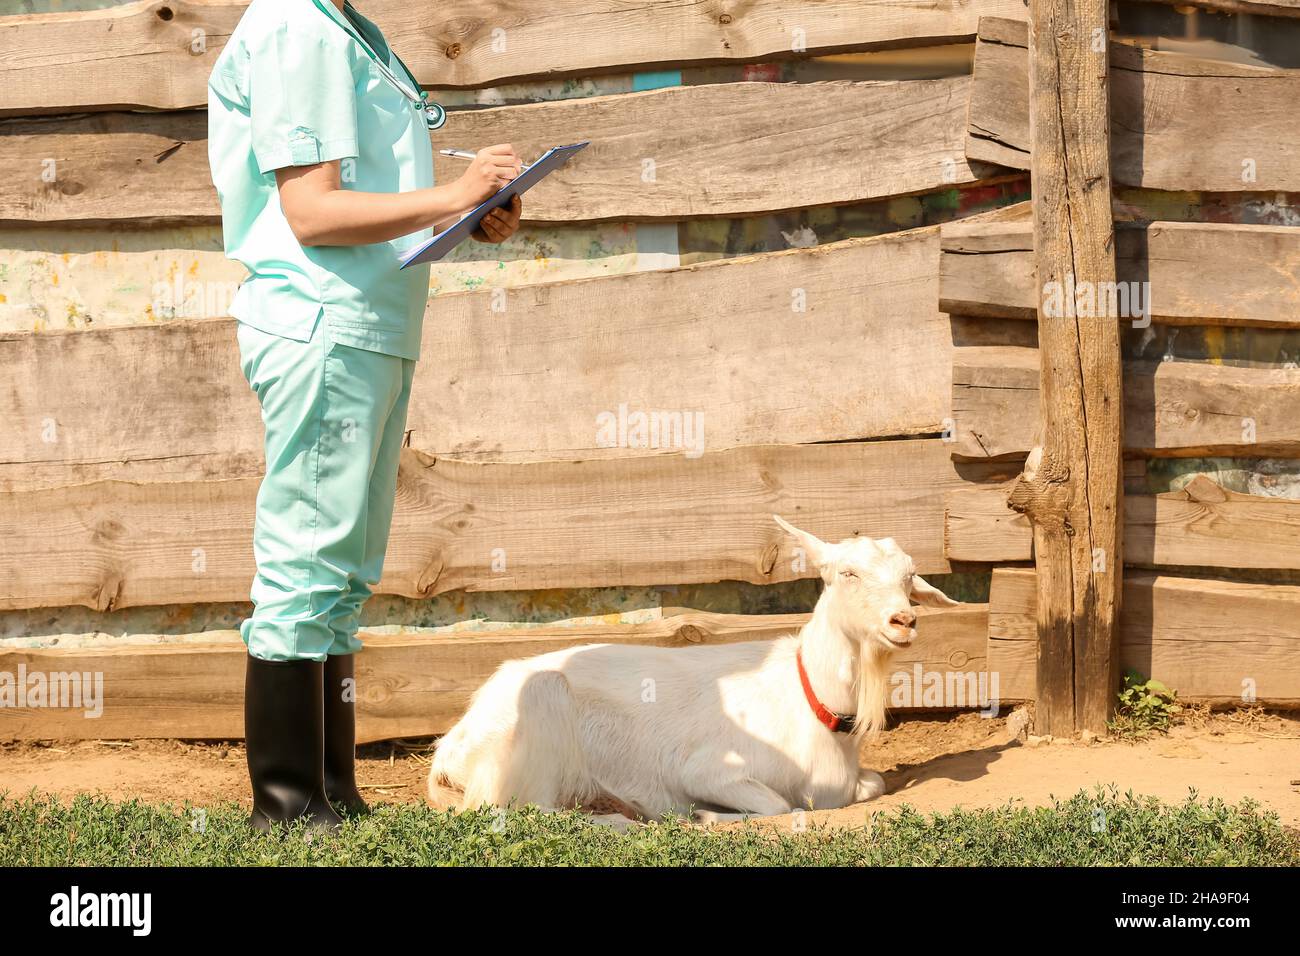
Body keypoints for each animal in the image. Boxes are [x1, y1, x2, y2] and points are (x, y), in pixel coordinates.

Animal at [428, 515, 959, 825]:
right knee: (528, 812)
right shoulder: (708, 768)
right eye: (847, 573)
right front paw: (705, 815)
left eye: (909, 576)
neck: (810, 700)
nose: (903, 621)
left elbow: (875, 783)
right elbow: (779, 804)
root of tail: (450, 747)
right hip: (534, 733)